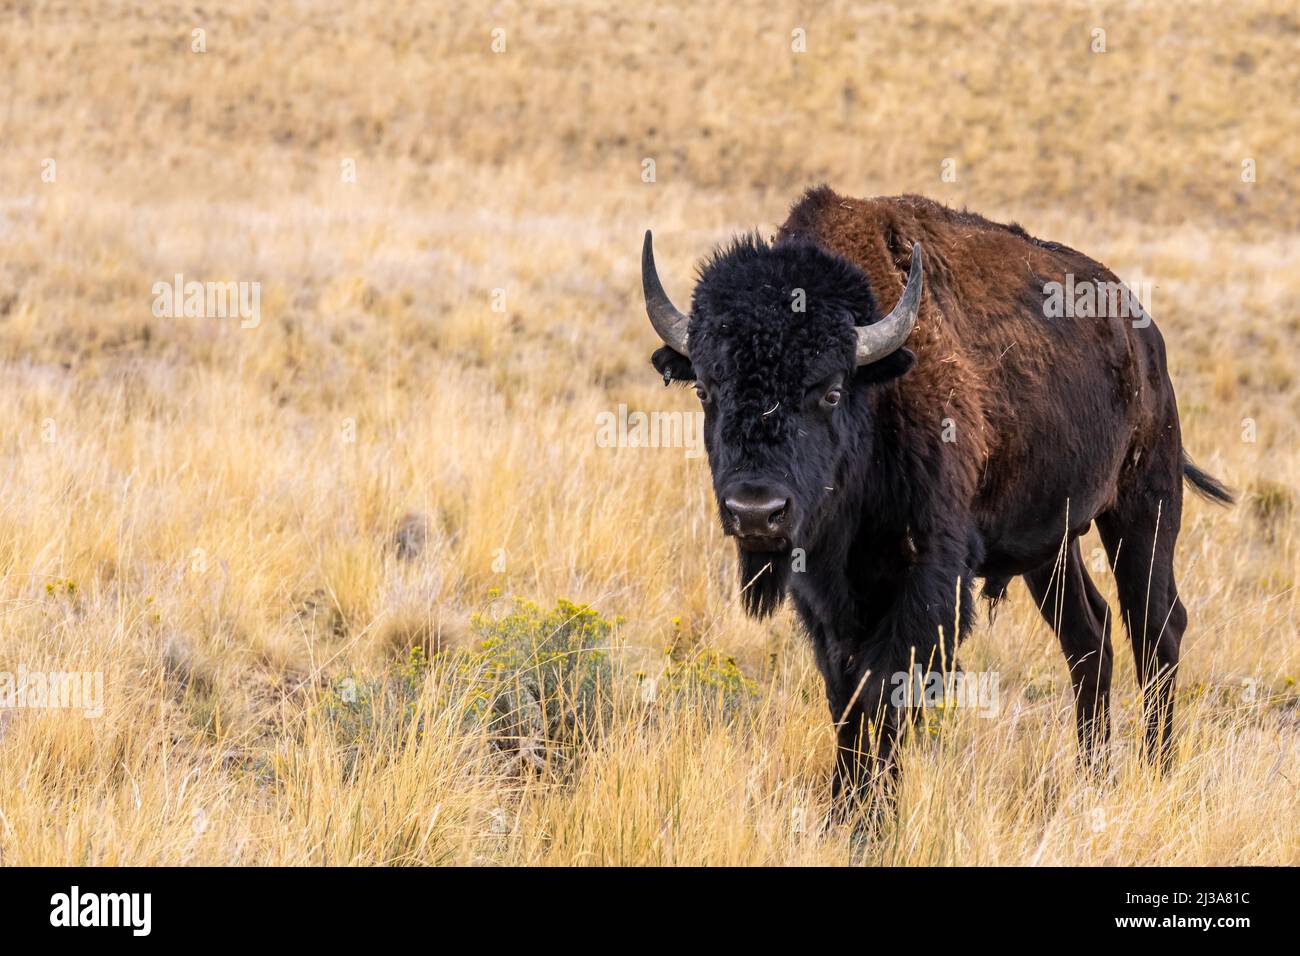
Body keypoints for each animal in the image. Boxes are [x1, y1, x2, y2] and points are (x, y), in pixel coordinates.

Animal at [641, 186, 1231, 808]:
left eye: (831, 391)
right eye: (706, 390)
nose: (756, 511)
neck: (877, 389)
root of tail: (1141, 332)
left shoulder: (929, 578)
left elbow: (885, 692)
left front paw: (874, 813)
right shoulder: (826, 593)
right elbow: (844, 695)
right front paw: (845, 806)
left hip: (1144, 507)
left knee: (1156, 627)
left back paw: (1157, 773)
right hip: (1051, 547)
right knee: (1088, 634)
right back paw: (1092, 777)